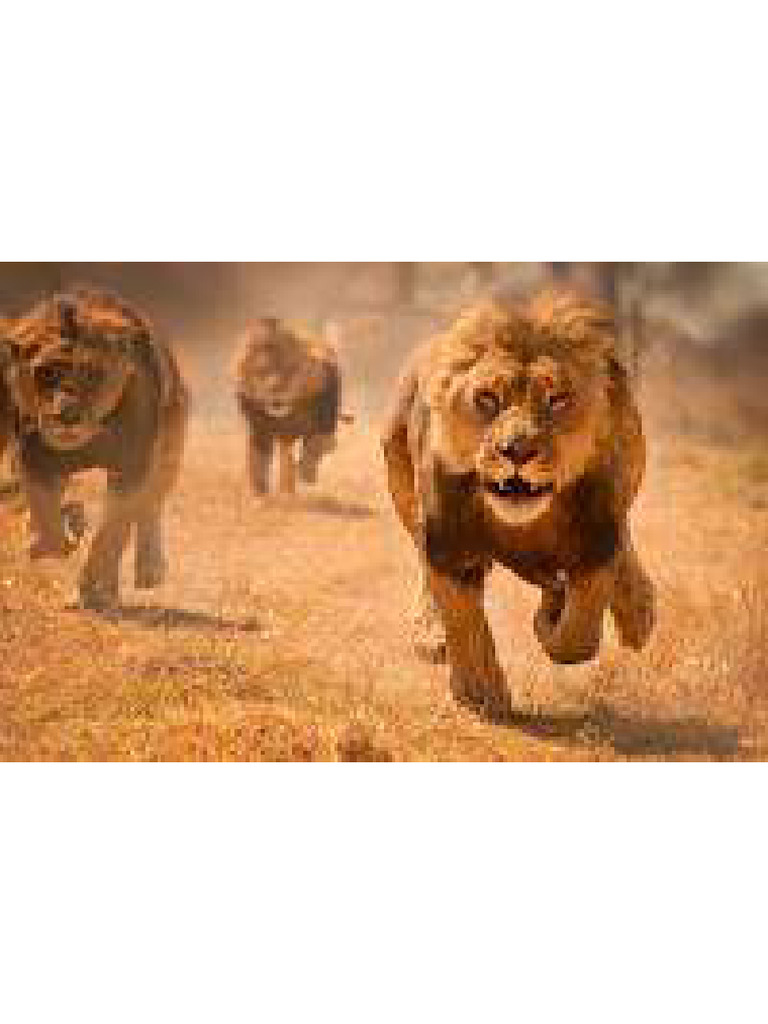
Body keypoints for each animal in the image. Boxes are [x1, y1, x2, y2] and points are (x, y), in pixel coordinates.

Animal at [0, 286, 188, 609]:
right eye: (46, 373)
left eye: (92, 373)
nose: (67, 416)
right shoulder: (33, 457)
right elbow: (48, 522)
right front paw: (59, 532)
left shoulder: (132, 470)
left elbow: (110, 536)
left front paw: (90, 588)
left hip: (168, 455)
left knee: (150, 508)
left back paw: (146, 571)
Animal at [234, 317, 344, 495]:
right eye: (261, 372)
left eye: (288, 370)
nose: (275, 388)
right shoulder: (260, 429)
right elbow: (258, 458)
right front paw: (259, 492)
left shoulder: (324, 421)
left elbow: (318, 444)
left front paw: (305, 475)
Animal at [382, 288, 656, 720]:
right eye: (487, 399)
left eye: (557, 399)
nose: (517, 450)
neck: (525, 523)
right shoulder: (448, 547)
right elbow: (465, 626)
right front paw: (477, 690)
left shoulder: (596, 540)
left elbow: (577, 637)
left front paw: (551, 617)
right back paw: (432, 635)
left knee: (624, 540)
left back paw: (636, 611)